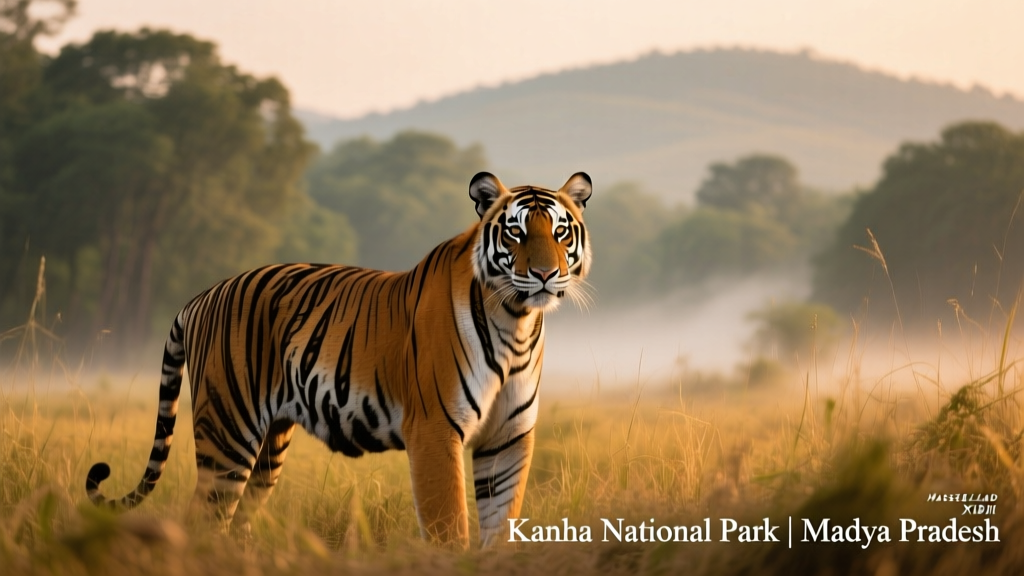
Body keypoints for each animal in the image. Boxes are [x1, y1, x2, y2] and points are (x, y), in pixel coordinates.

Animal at [85, 171, 593, 548]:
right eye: (516, 231)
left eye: (560, 231)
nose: (544, 274)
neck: (516, 322)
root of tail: (200, 296)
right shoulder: (435, 430)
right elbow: (450, 528)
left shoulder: (508, 437)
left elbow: (500, 524)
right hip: (228, 432)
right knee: (203, 520)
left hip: (270, 445)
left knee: (237, 520)